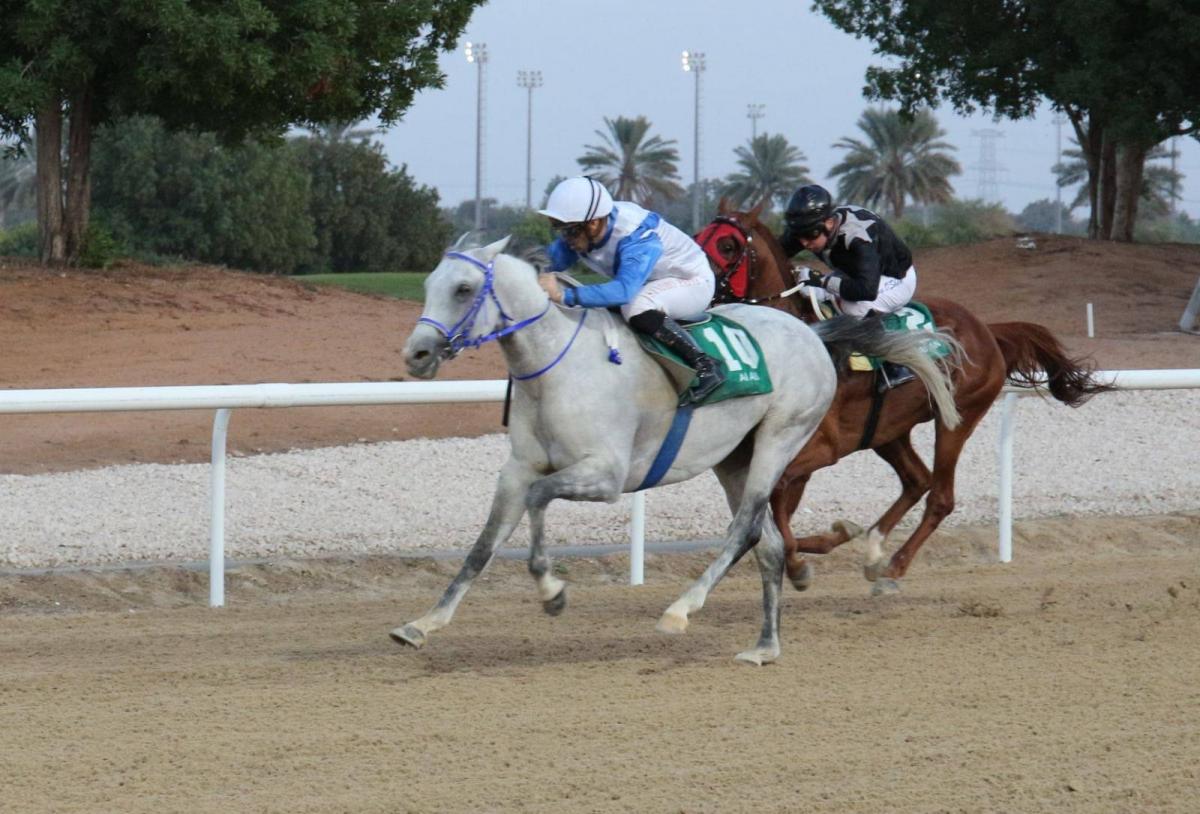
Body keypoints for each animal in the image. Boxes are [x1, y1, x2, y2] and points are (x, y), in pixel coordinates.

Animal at [391, 235, 961, 664]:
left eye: (464, 288)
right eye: (429, 285)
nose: (416, 354)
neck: (560, 366)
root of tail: (812, 333)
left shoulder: (606, 475)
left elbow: (538, 501)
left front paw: (552, 593)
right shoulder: (517, 469)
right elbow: (483, 545)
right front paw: (422, 623)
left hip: (782, 437)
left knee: (745, 529)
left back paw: (681, 609)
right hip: (735, 456)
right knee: (769, 543)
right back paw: (765, 645)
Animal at [698, 201, 1111, 594]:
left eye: (728, 245)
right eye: (699, 236)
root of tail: (987, 330)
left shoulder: (822, 447)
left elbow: (780, 499)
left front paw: (803, 562)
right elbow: (773, 508)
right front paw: (830, 539)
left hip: (957, 418)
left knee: (940, 496)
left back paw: (892, 567)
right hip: (887, 429)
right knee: (916, 480)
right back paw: (872, 547)